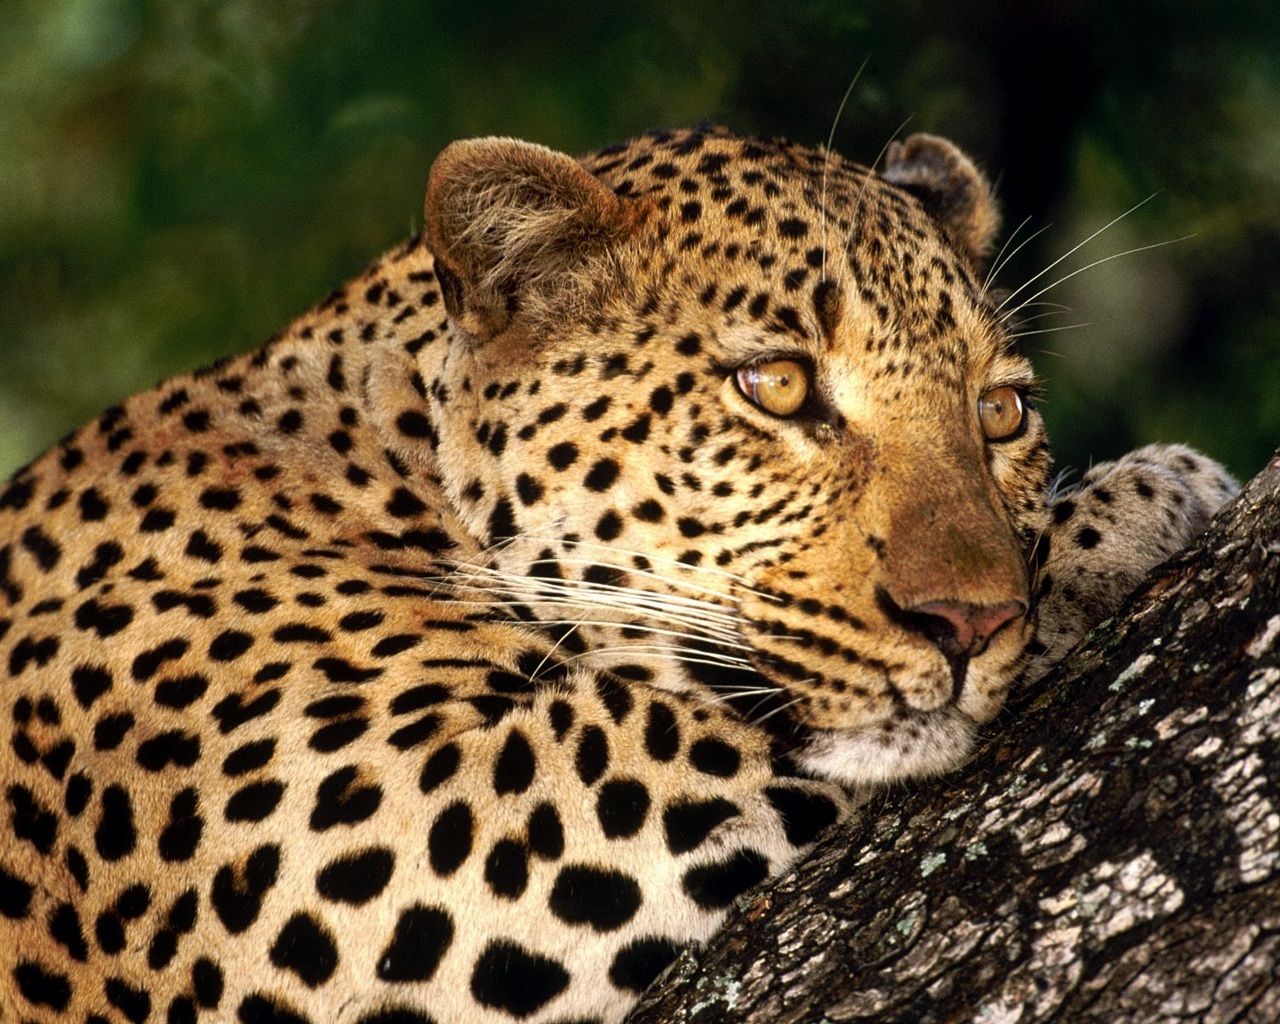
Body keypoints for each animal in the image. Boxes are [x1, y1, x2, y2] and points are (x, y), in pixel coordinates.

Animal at [0, 124, 1238, 1024]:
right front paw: (1141, 500)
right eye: (775, 386)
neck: (378, 452)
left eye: (999, 412)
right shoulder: (393, 833)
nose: (971, 622)